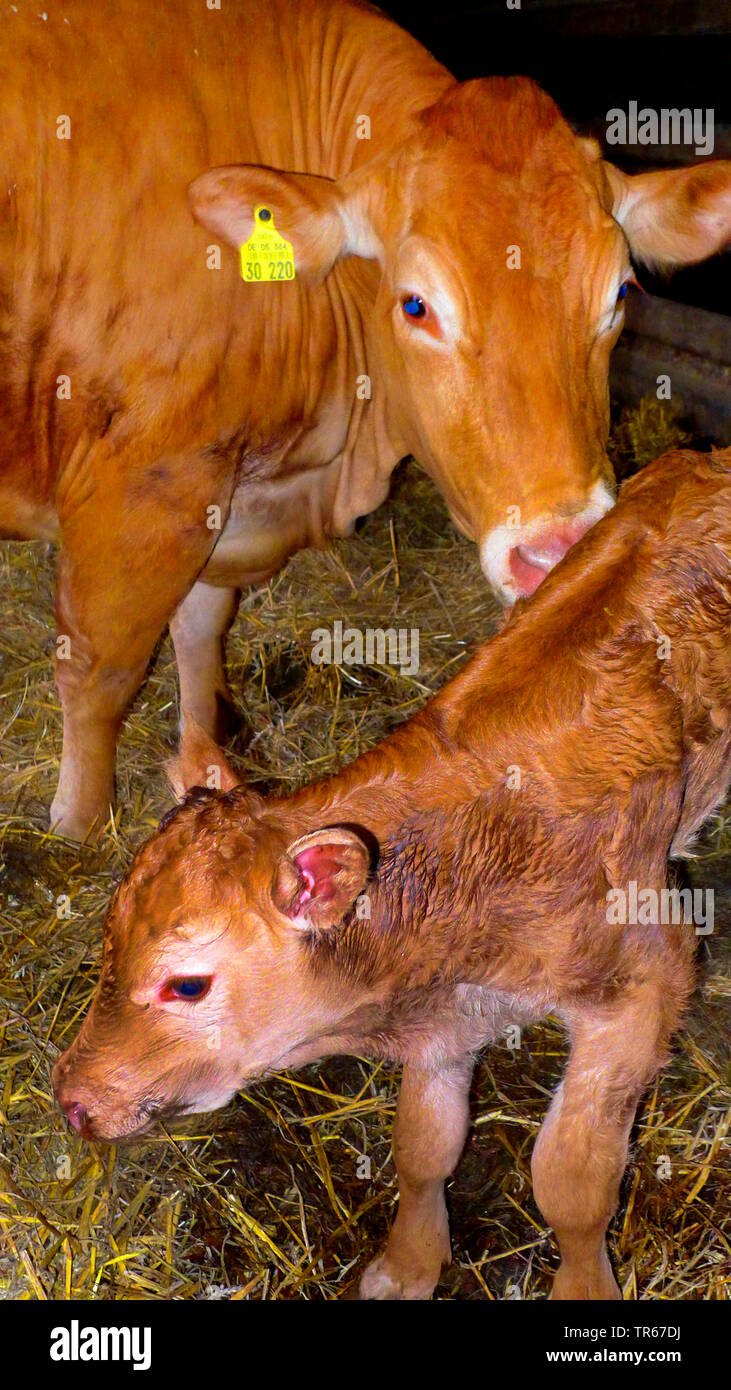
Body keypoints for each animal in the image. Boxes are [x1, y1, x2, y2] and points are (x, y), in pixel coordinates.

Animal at [2, 0, 730, 842]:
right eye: (415, 305)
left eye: (618, 293)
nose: (558, 552)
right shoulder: (143, 488)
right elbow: (101, 670)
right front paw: (77, 826)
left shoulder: (217, 491)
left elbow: (200, 626)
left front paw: (204, 758)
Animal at [53, 447, 731, 1300]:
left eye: (186, 984)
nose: (73, 1103)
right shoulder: (444, 1022)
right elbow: (423, 1146)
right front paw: (405, 1266)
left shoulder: (644, 980)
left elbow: (570, 1182)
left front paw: (583, 1286)